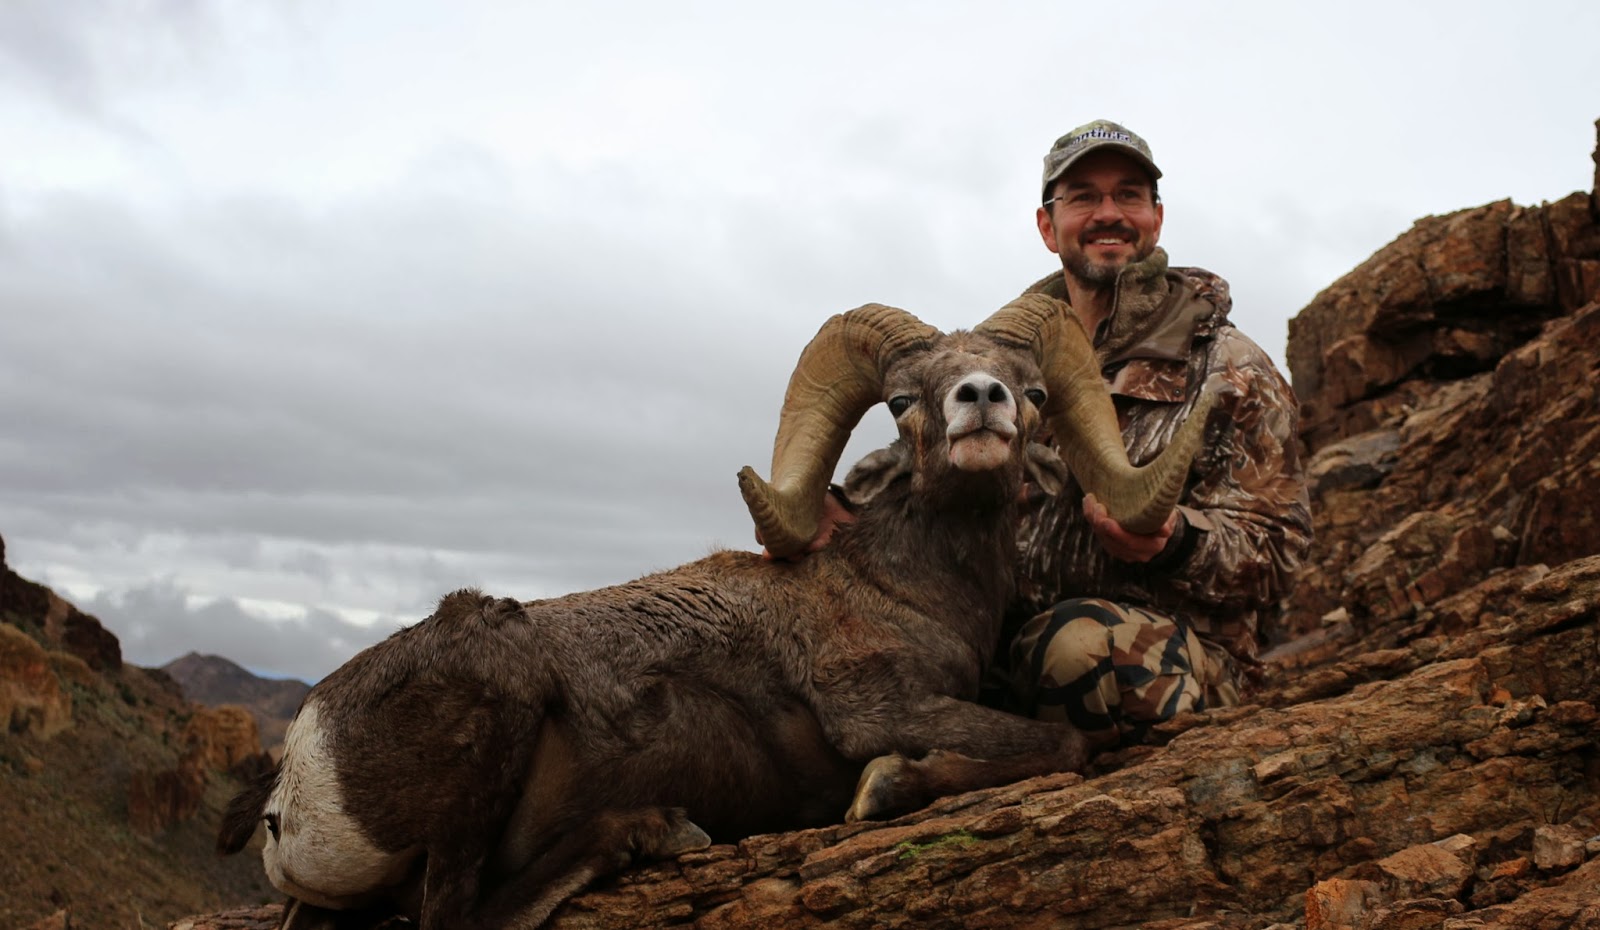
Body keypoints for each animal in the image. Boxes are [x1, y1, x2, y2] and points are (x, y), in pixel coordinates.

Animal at [217, 293, 1213, 930]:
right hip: (495, 716)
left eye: (1035, 391)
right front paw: (889, 787)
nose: (983, 400)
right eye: (902, 399)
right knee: (455, 920)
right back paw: (653, 830)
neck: (903, 587)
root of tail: (297, 777)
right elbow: (1065, 742)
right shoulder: (878, 710)